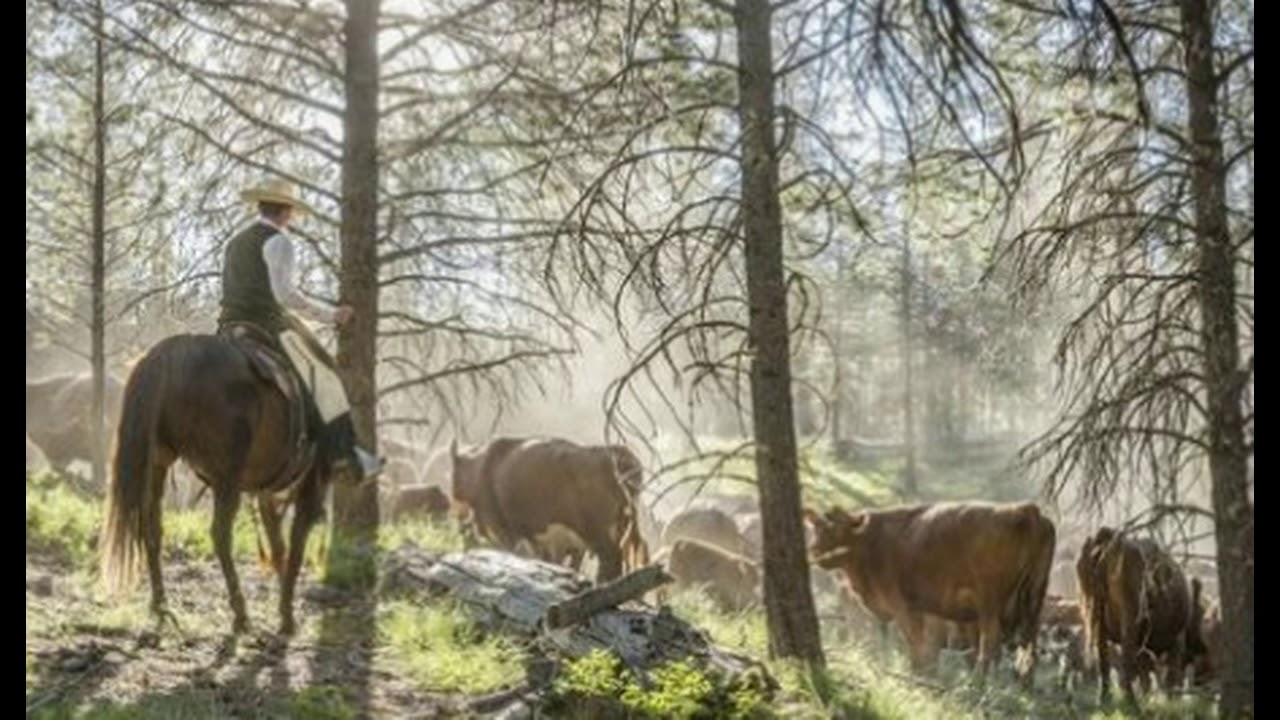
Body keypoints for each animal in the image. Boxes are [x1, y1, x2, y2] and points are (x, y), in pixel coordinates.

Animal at [806, 501, 1056, 685]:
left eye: (837, 529)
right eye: (816, 528)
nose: (813, 550)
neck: (872, 540)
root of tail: (1024, 509)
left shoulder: (902, 605)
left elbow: (915, 642)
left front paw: (918, 675)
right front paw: (925, 674)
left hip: (989, 604)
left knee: (989, 642)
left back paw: (976, 683)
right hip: (1034, 599)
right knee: (1029, 646)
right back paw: (1023, 686)